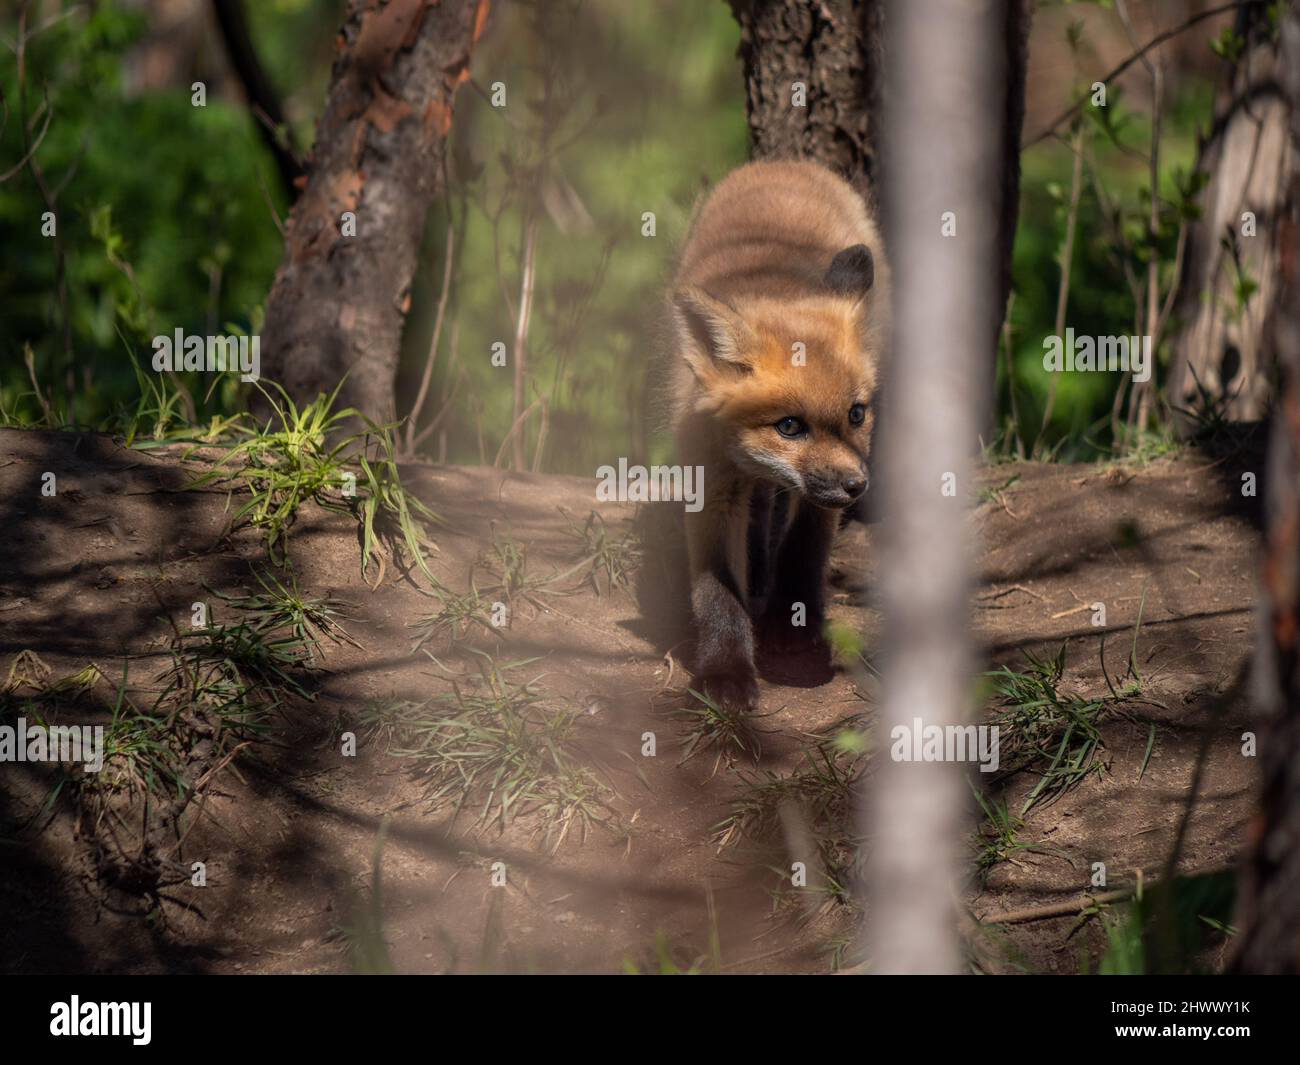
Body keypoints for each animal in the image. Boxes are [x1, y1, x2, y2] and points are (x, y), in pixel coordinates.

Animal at [666, 159, 889, 710]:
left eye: (856, 414)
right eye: (790, 426)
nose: (858, 486)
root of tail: (782, 163)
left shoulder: (823, 493)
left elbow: (806, 542)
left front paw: (792, 621)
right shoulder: (710, 482)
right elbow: (715, 589)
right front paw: (724, 673)